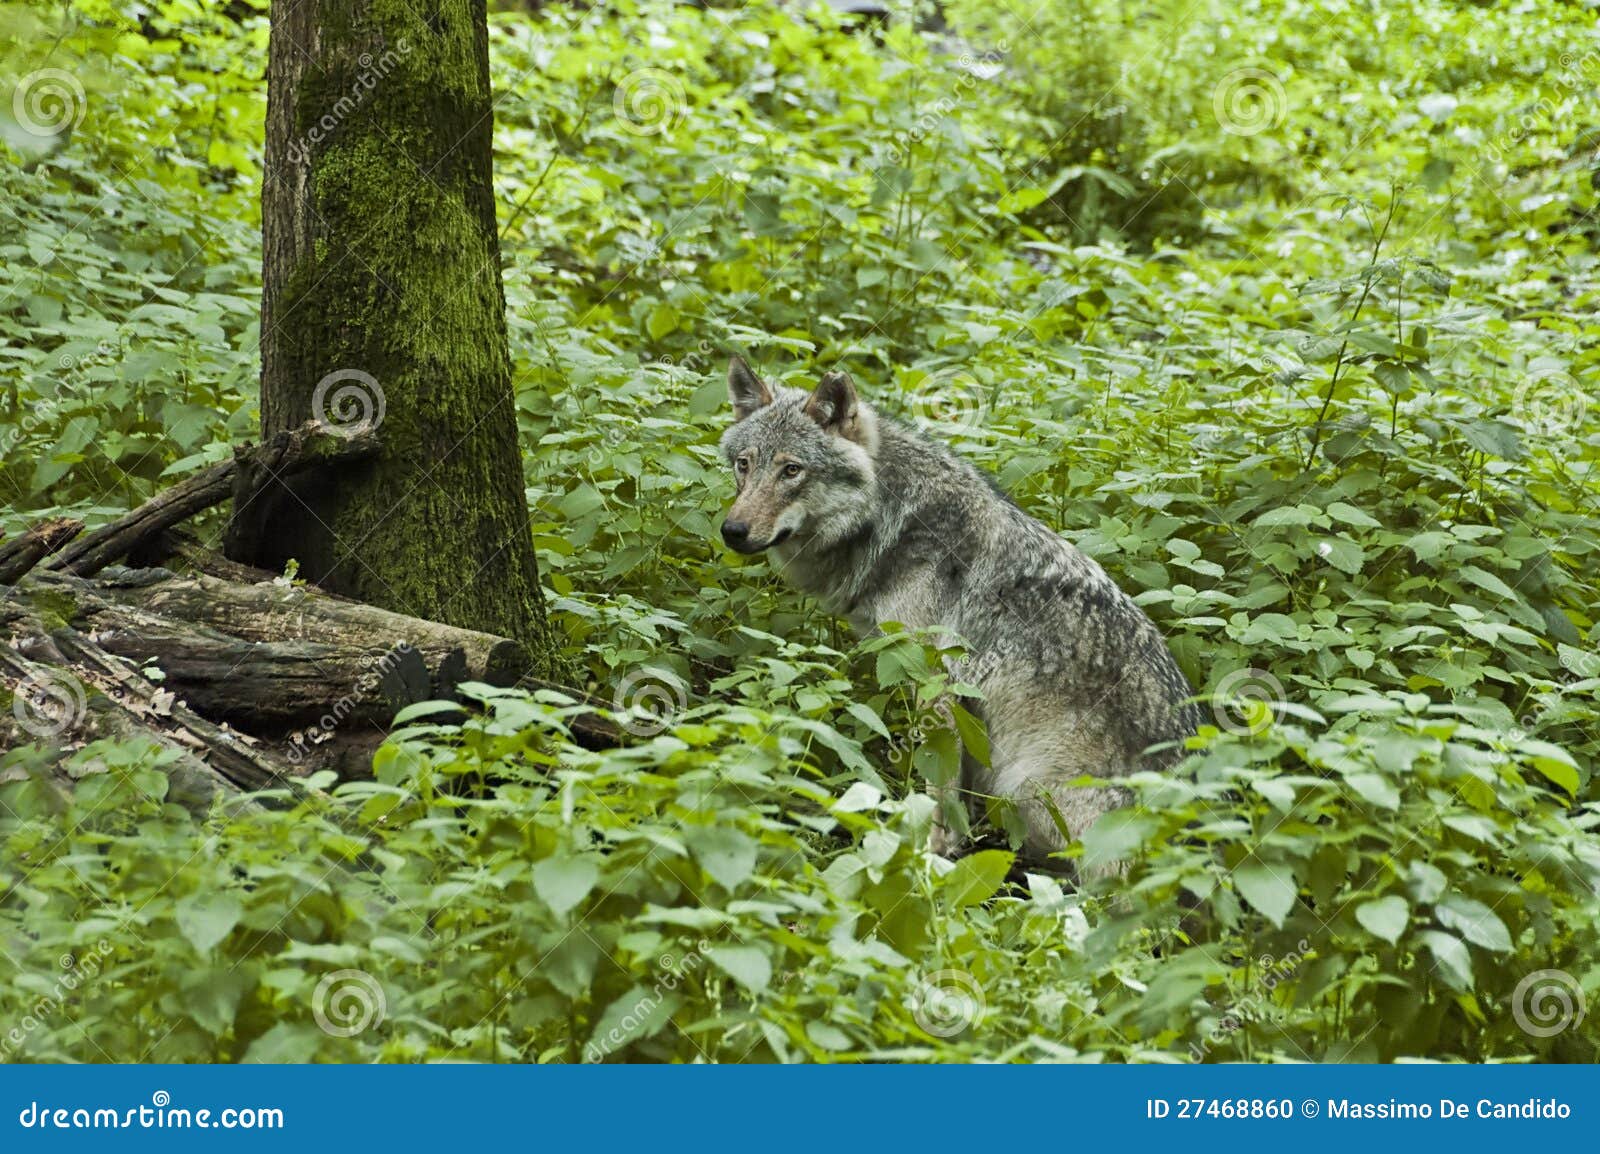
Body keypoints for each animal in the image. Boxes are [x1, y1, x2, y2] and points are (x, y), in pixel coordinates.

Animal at [718, 356, 1203, 866]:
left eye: (792, 470)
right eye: (744, 465)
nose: (732, 531)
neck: (890, 518)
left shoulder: (937, 683)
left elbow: (939, 792)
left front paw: (928, 858)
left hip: (1024, 783)